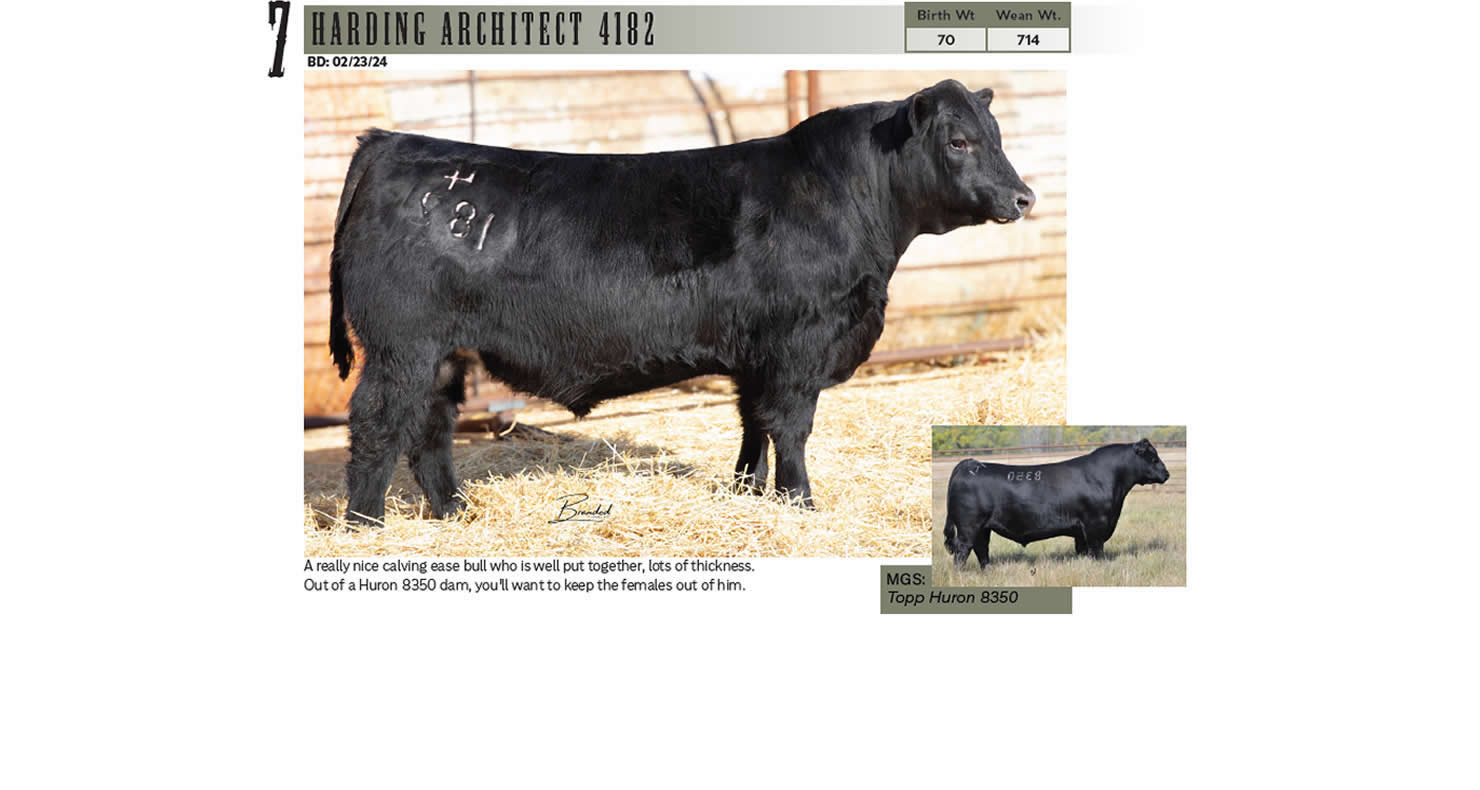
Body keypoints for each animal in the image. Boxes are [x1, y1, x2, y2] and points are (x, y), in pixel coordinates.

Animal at [328, 79, 1034, 526]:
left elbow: (753, 424)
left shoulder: (757, 353)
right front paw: (800, 502)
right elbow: (791, 427)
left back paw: (454, 511)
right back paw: (366, 523)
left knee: (429, 427)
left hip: (442, 353)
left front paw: (750, 491)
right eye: (959, 142)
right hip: (401, 346)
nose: (1023, 197)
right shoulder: (798, 346)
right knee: (378, 423)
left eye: (997, 135)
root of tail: (392, 141)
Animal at [942, 440, 1171, 568]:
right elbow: (1097, 552)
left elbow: (1083, 552)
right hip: (969, 526)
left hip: (983, 528)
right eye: (1153, 458)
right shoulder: (1095, 525)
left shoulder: (1081, 532)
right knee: (962, 552)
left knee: (981, 550)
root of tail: (970, 464)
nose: (1167, 474)